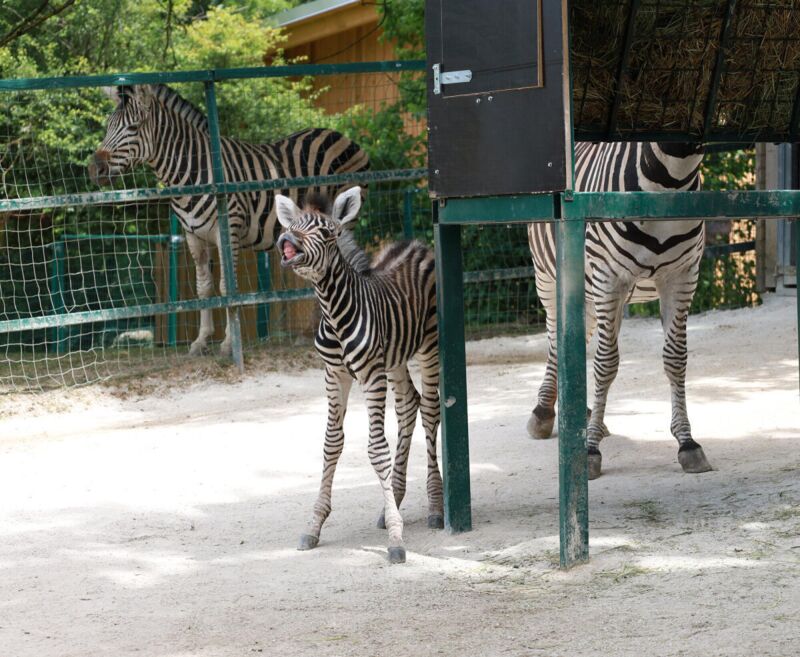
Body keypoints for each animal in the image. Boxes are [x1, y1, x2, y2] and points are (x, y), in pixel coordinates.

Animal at [89, 84, 369, 356]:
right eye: (108, 125)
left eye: (133, 128)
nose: (95, 169)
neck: (191, 172)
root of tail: (339, 134)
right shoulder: (193, 235)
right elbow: (203, 287)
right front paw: (201, 341)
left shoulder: (228, 230)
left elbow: (227, 287)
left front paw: (228, 343)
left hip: (342, 223)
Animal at [275, 186, 443, 564]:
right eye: (292, 226)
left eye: (327, 232)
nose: (286, 241)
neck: (334, 313)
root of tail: (417, 244)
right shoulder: (335, 374)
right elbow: (331, 443)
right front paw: (314, 524)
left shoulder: (370, 375)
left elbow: (377, 449)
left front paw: (396, 538)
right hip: (394, 359)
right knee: (409, 405)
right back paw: (394, 497)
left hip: (429, 345)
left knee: (430, 410)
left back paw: (436, 506)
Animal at [527, 141, 713, 479]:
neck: (669, 181)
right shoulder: (609, 278)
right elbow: (606, 364)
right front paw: (590, 450)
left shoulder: (682, 277)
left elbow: (676, 358)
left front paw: (687, 442)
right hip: (548, 277)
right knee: (555, 341)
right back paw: (545, 412)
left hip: (594, 295)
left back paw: (585, 415)